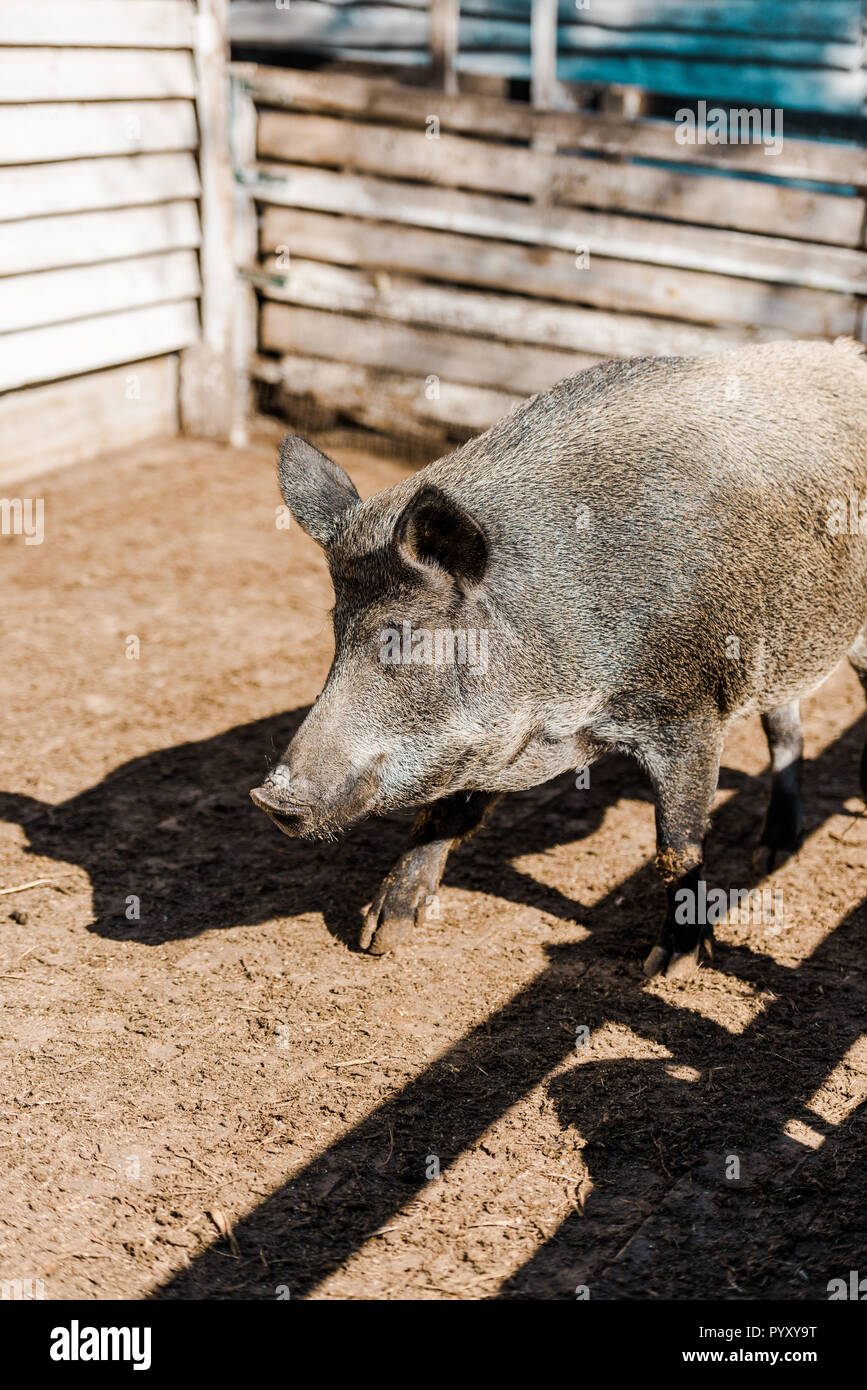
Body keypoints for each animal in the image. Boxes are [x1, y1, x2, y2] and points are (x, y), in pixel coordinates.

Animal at [251, 338, 867, 977]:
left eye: (407, 635)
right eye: (338, 631)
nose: (268, 797)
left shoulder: (690, 711)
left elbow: (678, 845)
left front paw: (665, 966)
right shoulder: (493, 738)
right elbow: (445, 813)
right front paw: (379, 938)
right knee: (786, 728)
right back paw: (769, 856)